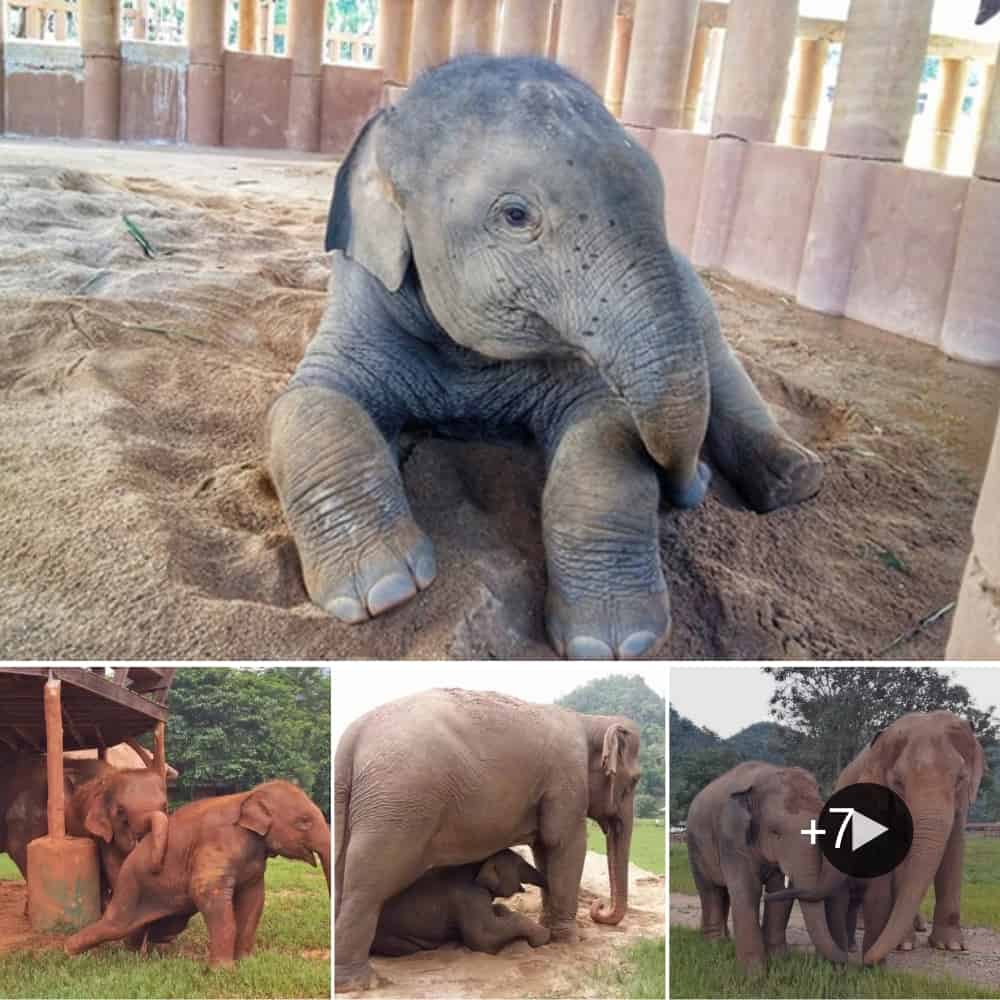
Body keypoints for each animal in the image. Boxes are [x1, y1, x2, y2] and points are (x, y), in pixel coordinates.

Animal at [64, 780, 331, 968]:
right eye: (304, 821)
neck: (248, 795)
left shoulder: (254, 864)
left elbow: (254, 900)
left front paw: (246, 962)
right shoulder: (217, 845)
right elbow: (207, 894)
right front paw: (222, 971)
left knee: (157, 925)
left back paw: (136, 953)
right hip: (131, 883)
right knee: (115, 924)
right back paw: (68, 951)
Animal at [268, 54, 823, 662]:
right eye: (515, 215)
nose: (697, 477)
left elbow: (606, 433)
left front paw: (616, 641)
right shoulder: (361, 295)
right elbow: (309, 402)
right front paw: (383, 588)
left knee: (722, 364)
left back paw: (795, 479)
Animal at [372, 848, 551, 955]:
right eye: (520, 863)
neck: (476, 865)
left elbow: (497, 910)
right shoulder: (469, 898)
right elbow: (484, 937)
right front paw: (544, 937)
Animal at [685, 761, 846, 971]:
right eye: (775, 832)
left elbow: (780, 890)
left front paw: (779, 961)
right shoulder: (732, 837)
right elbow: (748, 889)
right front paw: (753, 973)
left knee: (724, 893)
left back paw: (725, 941)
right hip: (695, 847)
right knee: (710, 891)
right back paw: (713, 945)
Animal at [769, 711, 985, 966]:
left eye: (960, 779)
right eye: (898, 782)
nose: (865, 961)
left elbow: (954, 849)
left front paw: (950, 946)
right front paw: (904, 945)